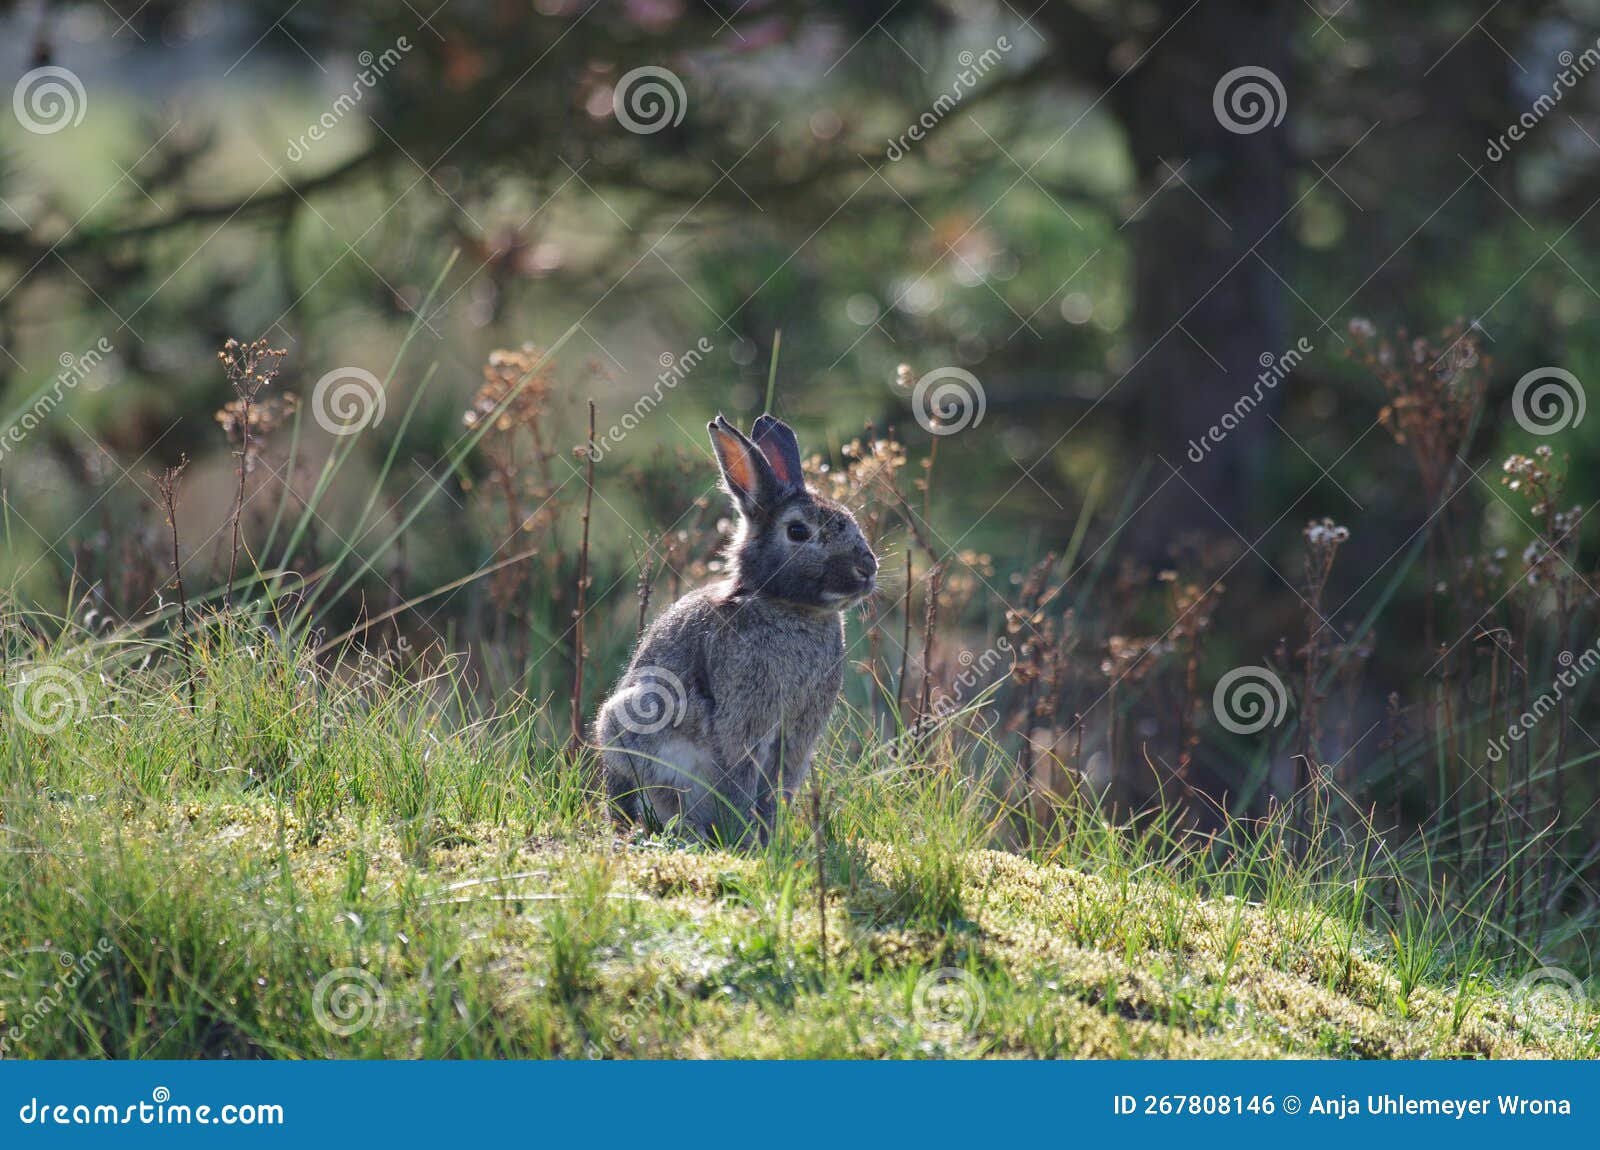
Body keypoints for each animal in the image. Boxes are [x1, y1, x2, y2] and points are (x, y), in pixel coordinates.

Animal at [593, 413, 879, 843]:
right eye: (798, 531)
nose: (868, 569)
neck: (785, 606)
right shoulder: (744, 722)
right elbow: (740, 780)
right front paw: (747, 839)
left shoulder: (797, 736)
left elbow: (779, 788)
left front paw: (770, 838)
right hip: (634, 723)